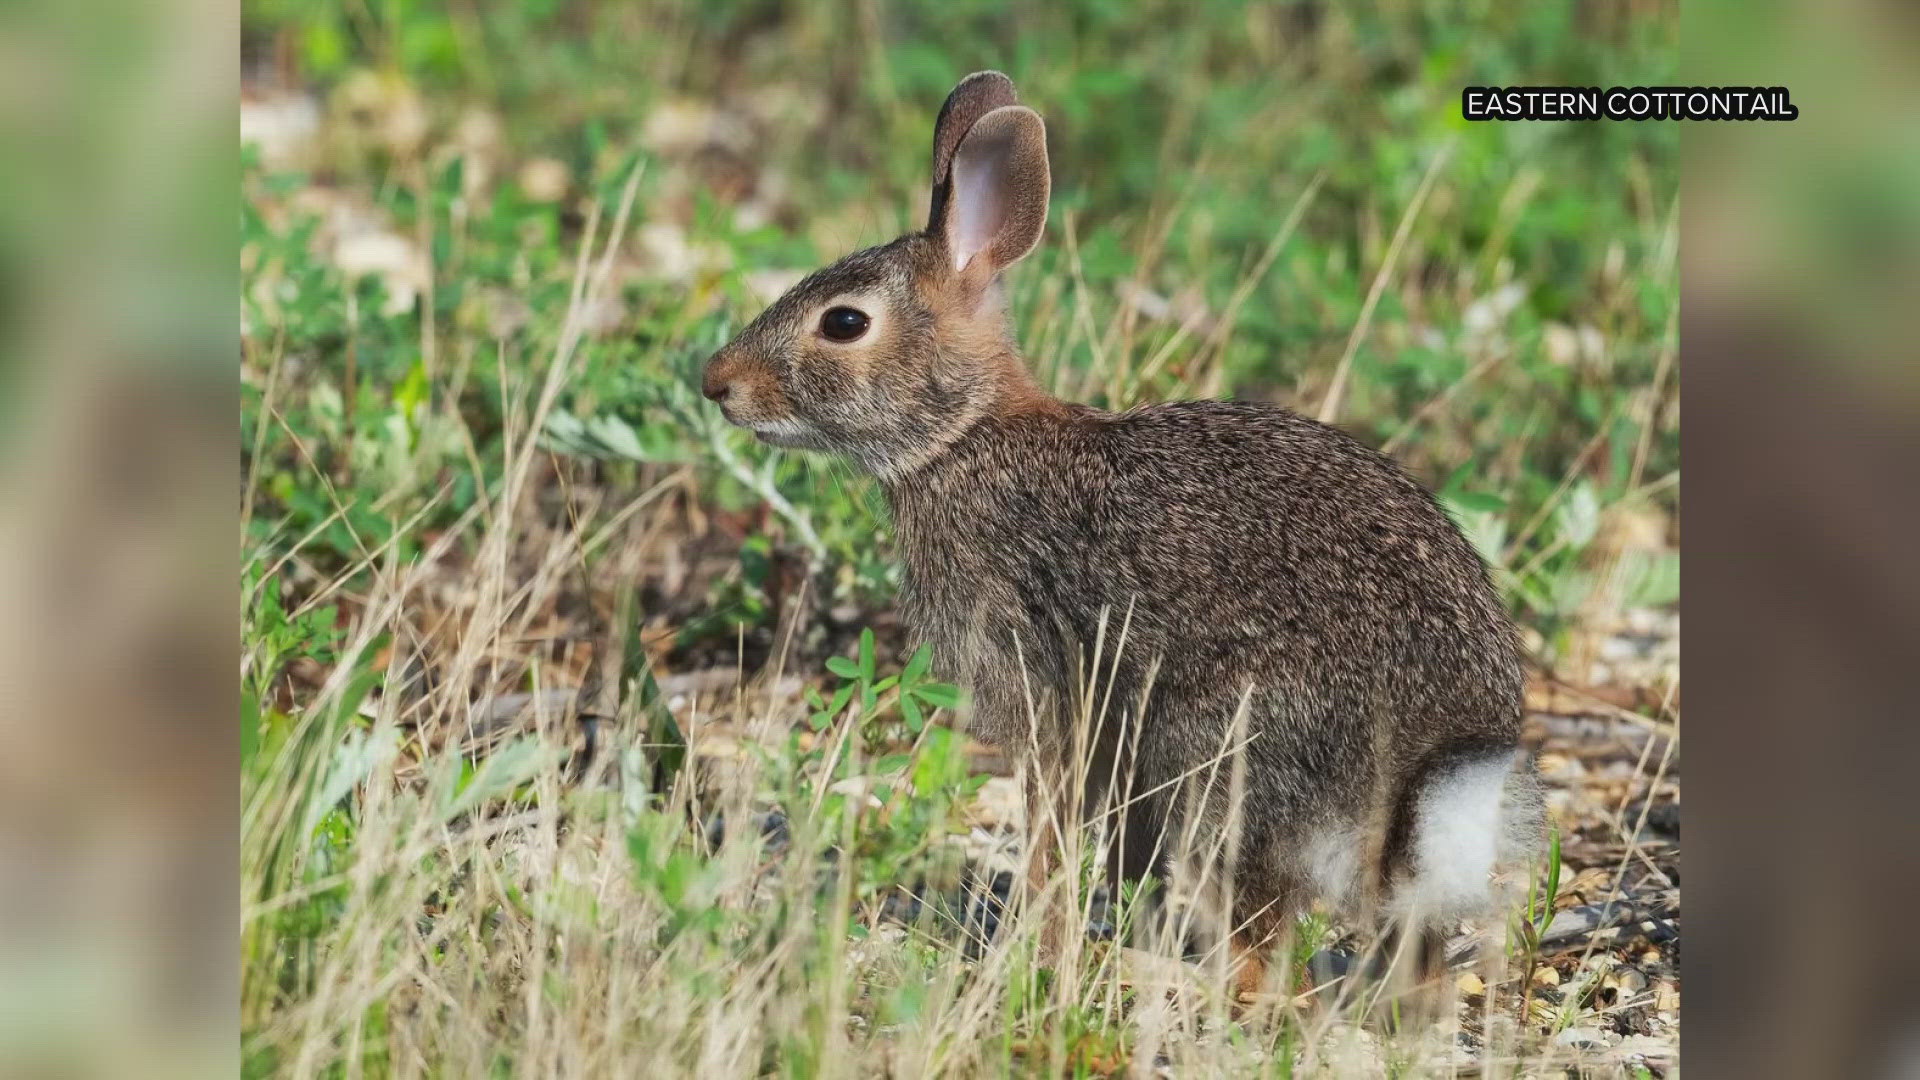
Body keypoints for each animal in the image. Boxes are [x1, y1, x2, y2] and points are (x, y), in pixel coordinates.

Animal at [700, 71, 1543, 1004]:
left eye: (844, 324)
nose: (717, 383)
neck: (961, 434)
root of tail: (1427, 768)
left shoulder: (1037, 681)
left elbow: (1049, 821)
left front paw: (1036, 945)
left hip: (1218, 763)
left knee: (1259, 957)